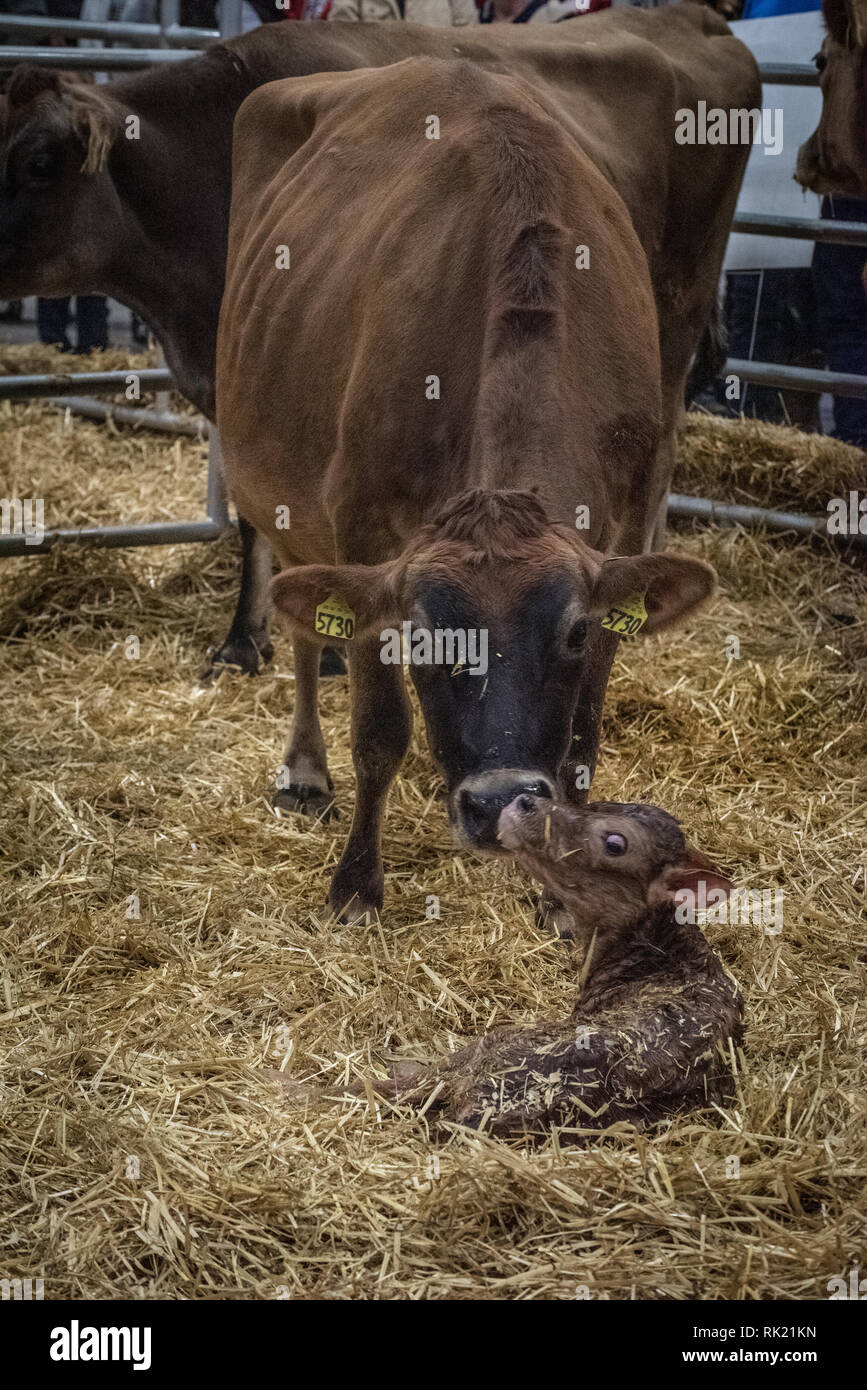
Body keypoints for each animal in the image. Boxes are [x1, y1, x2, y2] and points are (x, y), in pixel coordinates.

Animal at [0, 8, 758, 677]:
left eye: (38, 161)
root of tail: (693, 19)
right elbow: (255, 516)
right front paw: (246, 641)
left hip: (678, 306)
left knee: (664, 446)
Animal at [216, 56, 718, 923]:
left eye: (574, 632)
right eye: (424, 636)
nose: (497, 801)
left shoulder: (622, 533)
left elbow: (581, 737)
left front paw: (568, 888)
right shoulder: (363, 535)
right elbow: (380, 730)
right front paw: (355, 885)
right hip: (279, 492)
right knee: (306, 629)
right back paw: (305, 771)